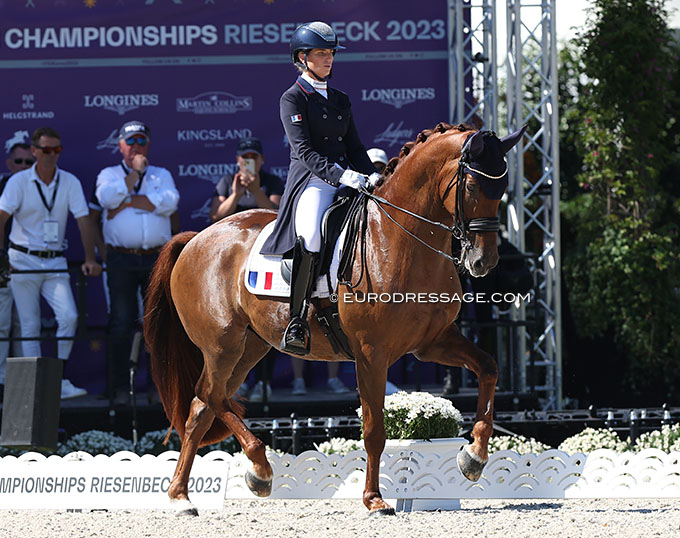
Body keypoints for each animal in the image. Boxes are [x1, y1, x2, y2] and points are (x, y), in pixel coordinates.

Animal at [144, 122, 522, 516]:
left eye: (503, 190)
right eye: (472, 186)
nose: (483, 261)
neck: (401, 239)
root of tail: (194, 238)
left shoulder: (432, 342)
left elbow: (489, 368)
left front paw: (473, 457)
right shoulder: (371, 354)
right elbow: (373, 430)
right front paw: (374, 499)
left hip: (249, 349)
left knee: (201, 408)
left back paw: (182, 496)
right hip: (222, 346)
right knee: (210, 394)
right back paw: (259, 469)